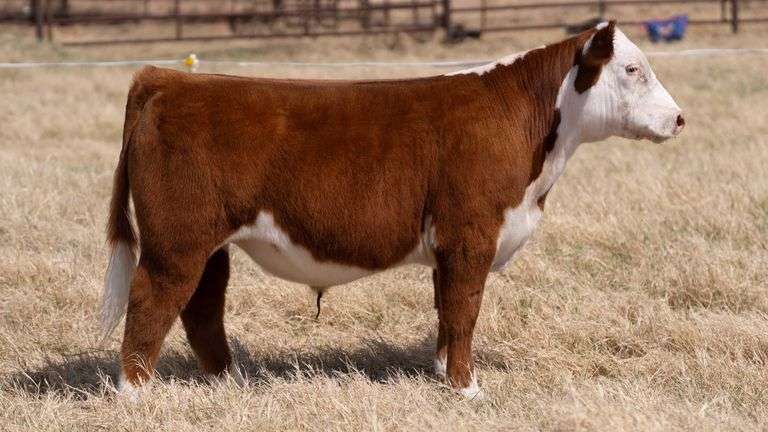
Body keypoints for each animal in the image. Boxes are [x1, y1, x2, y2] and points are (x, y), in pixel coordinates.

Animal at [101, 21, 684, 399]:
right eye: (633, 68)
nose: (679, 118)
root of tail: (169, 79)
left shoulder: (451, 245)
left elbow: (447, 311)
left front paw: (442, 373)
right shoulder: (471, 234)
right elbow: (465, 310)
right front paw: (468, 389)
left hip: (209, 243)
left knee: (202, 307)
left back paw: (232, 381)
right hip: (177, 241)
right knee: (153, 299)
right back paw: (136, 395)